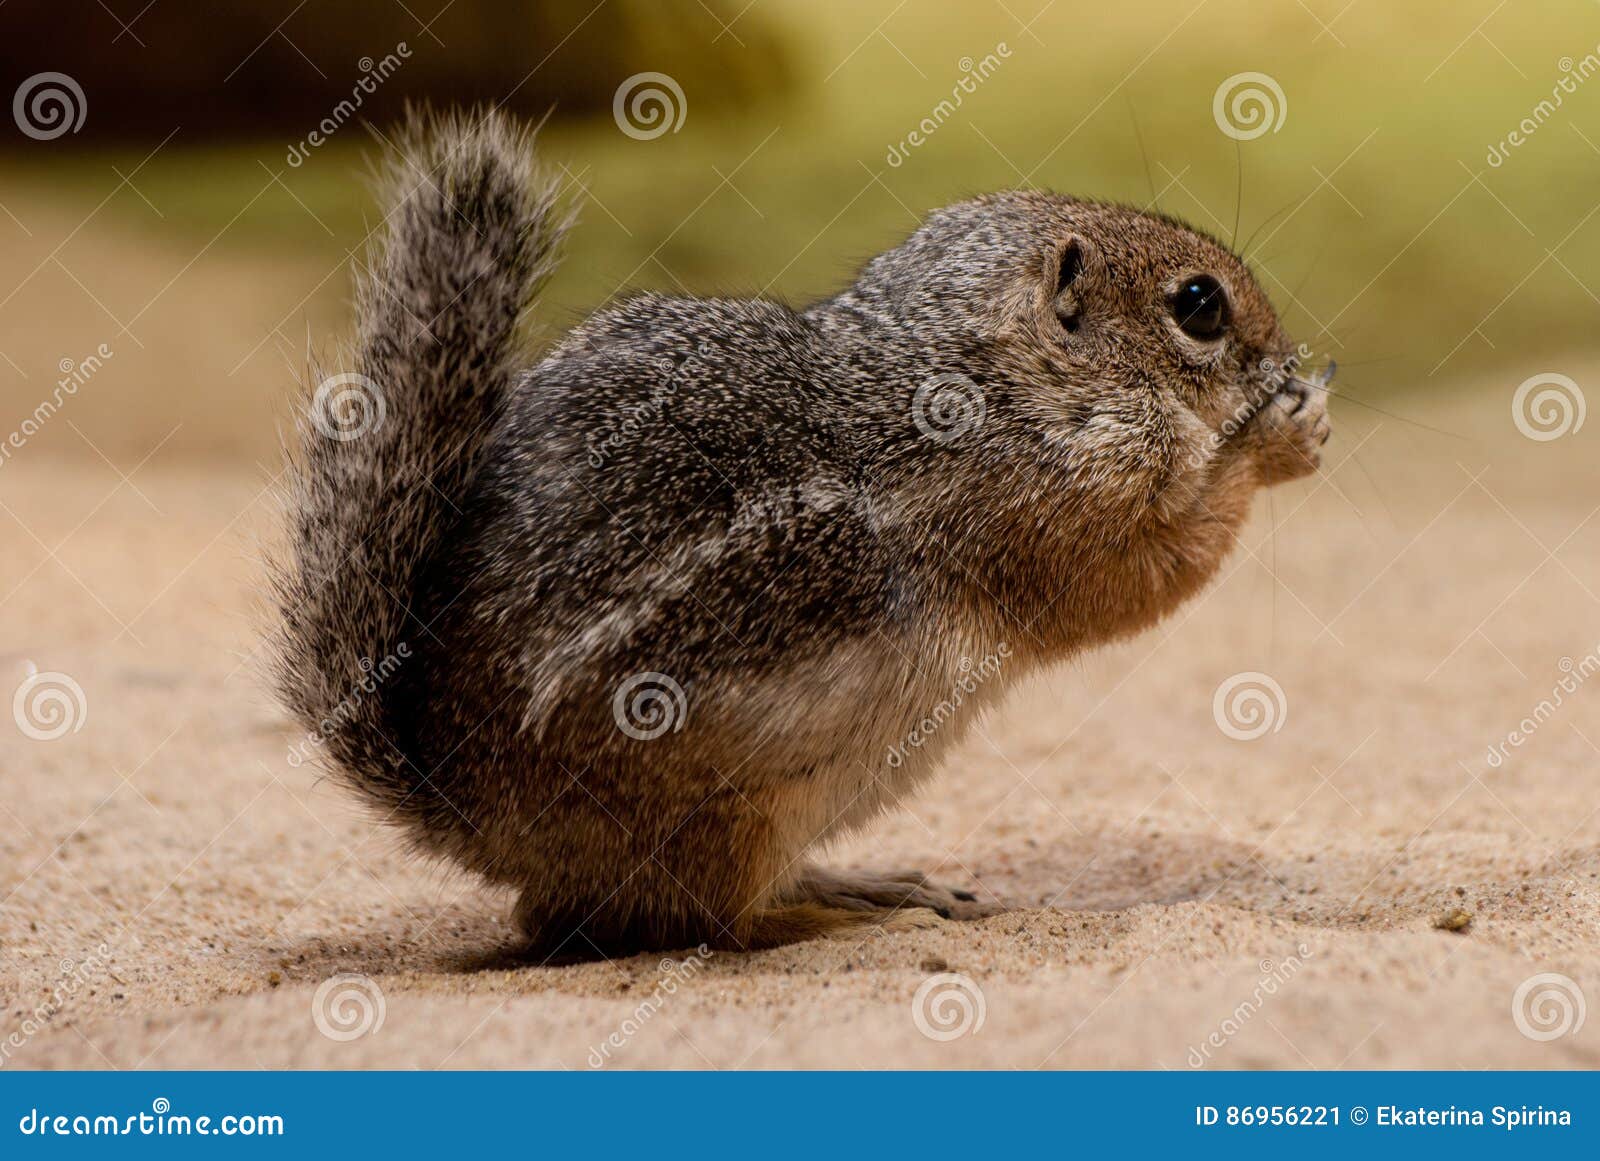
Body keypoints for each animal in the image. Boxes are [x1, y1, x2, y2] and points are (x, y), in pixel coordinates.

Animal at [270, 109, 1331, 958]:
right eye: (1199, 304)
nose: (1287, 358)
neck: (992, 377)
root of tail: (463, 813)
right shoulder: (1048, 508)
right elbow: (1147, 571)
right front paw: (1274, 439)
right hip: (732, 809)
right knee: (683, 921)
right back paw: (846, 912)